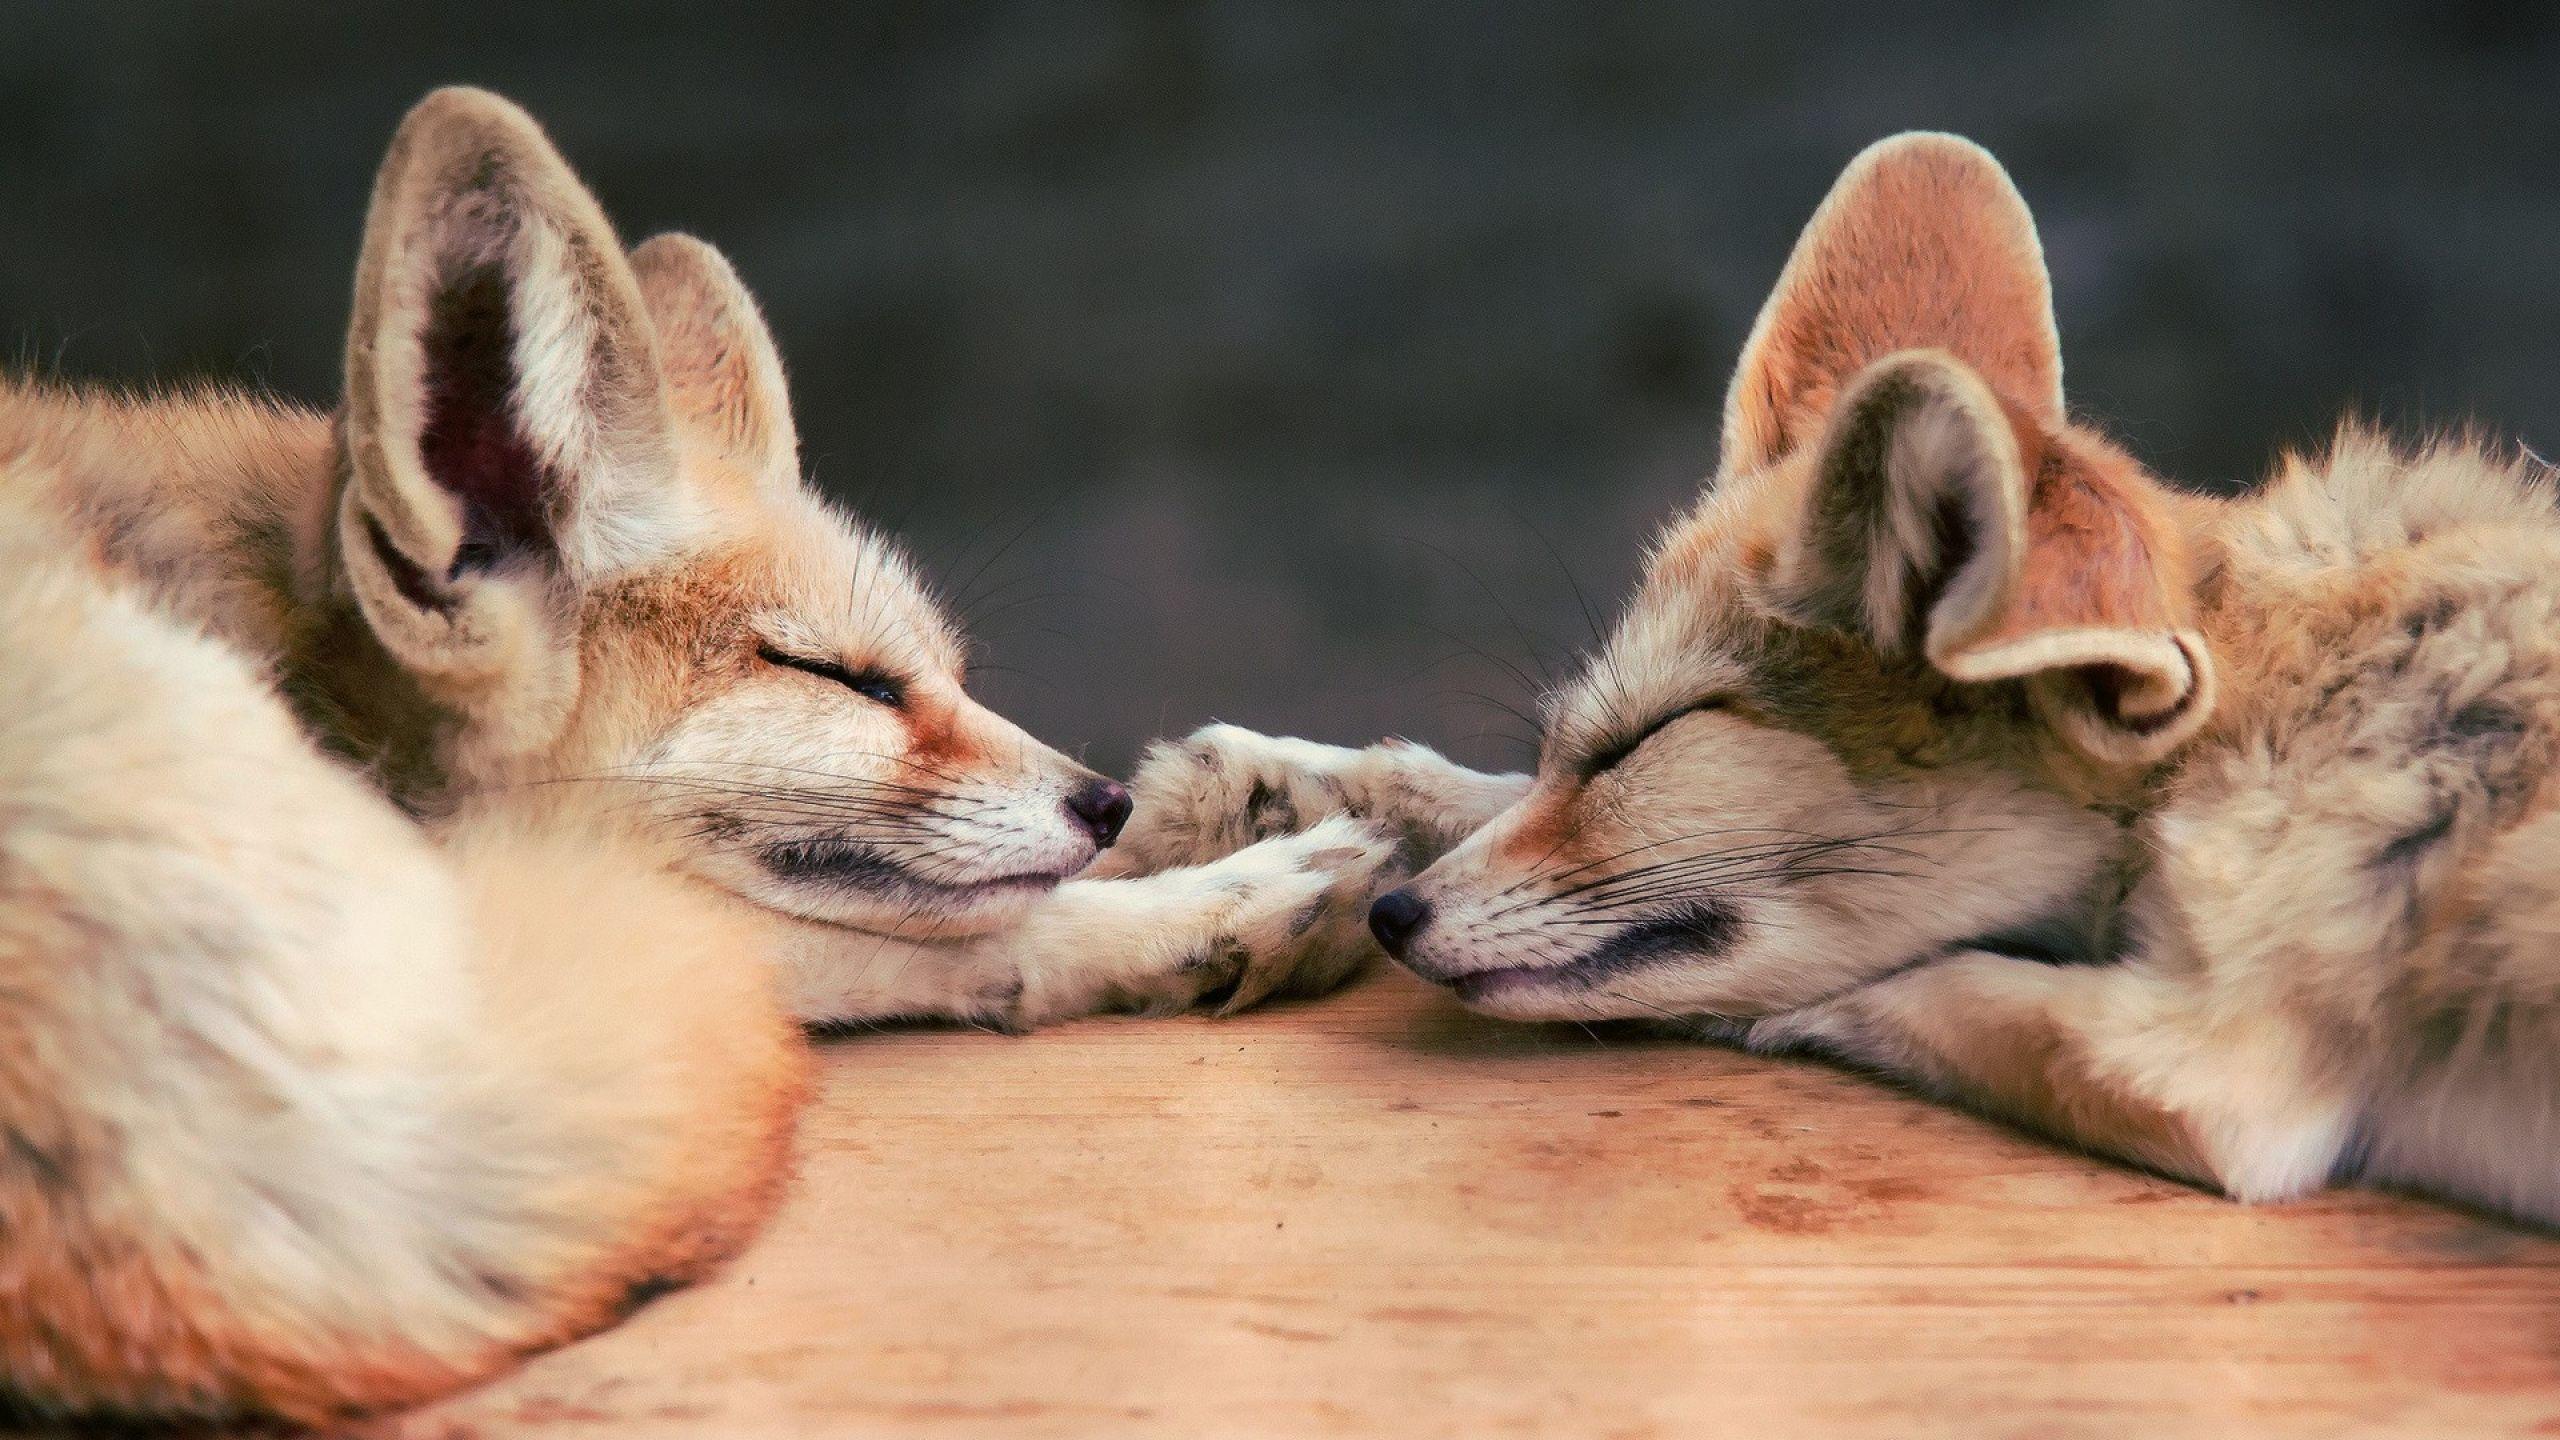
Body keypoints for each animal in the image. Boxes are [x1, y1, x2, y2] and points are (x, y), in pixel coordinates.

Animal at [0, 88, 1390, 1426]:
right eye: (843, 677)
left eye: (947, 674)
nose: (1101, 803)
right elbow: (959, 928)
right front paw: (1214, 897)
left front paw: (1229, 806)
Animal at [1112, 132, 2560, 1227]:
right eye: (1589, 737)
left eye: (1650, 742)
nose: (1394, 920)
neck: (2271, 705)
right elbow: (1479, 794)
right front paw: (1273, 801)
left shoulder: (2215, 1072)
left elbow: (1856, 987)